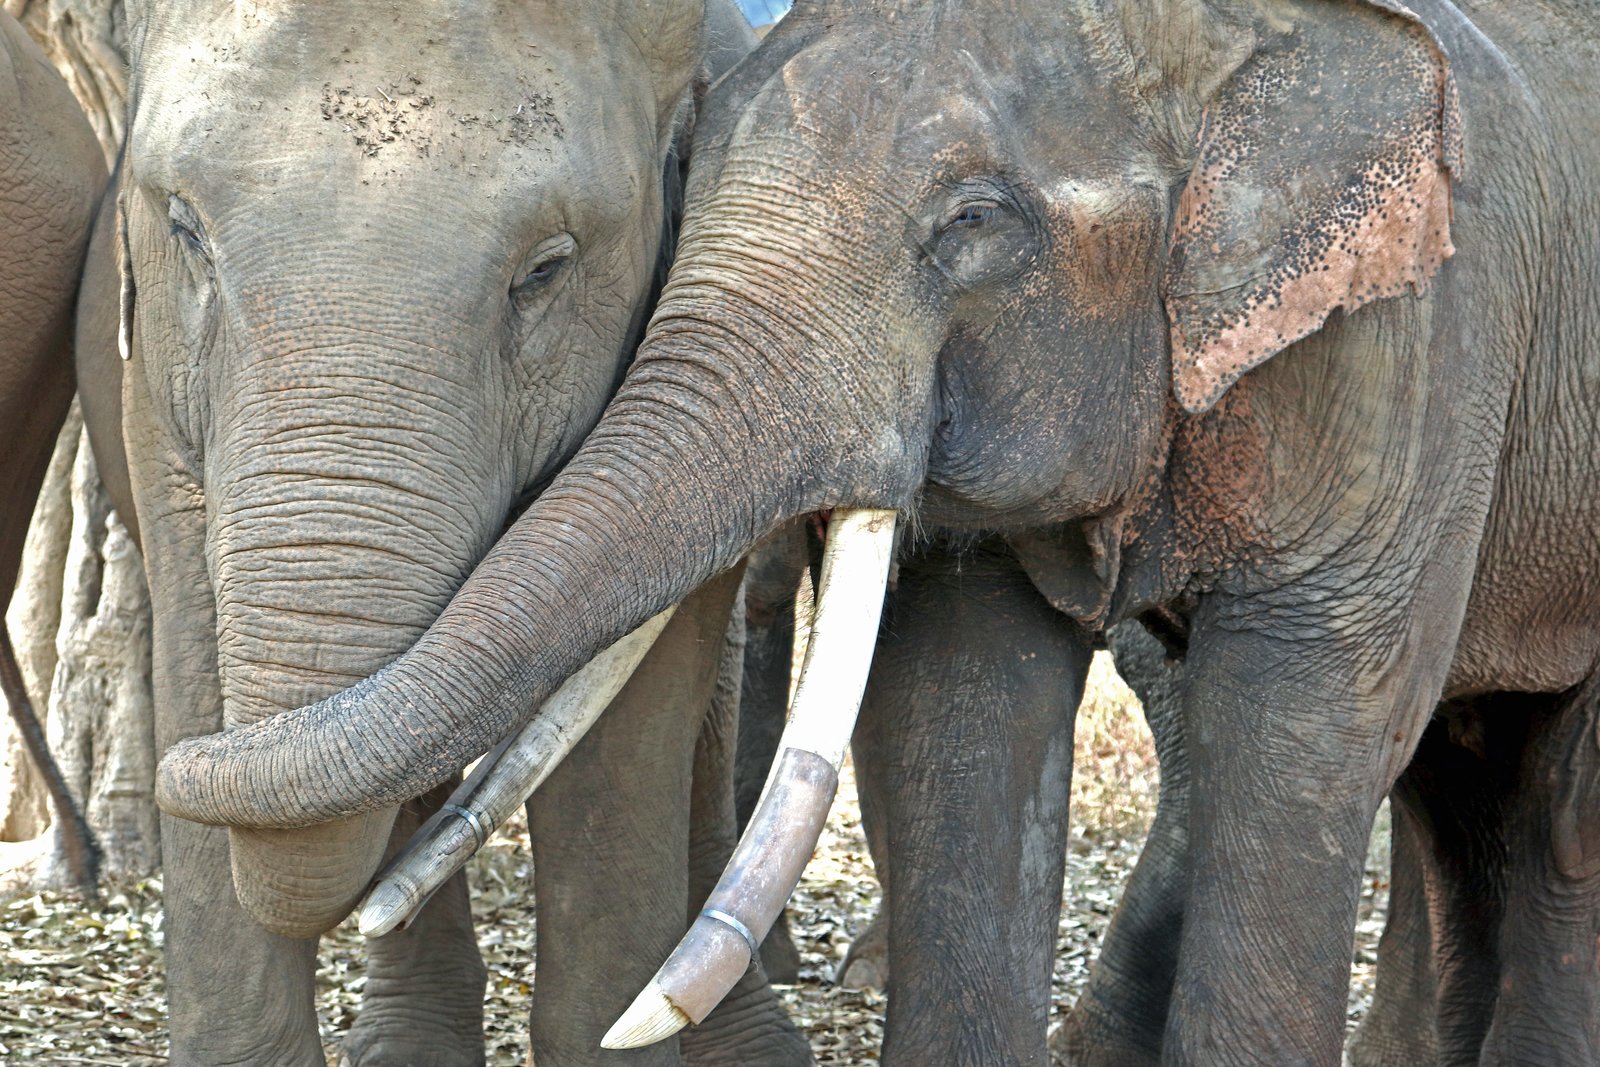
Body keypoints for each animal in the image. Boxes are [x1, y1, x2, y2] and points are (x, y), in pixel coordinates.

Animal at [83, 1, 816, 1064]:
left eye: (546, 270)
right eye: (184, 228)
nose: (164, 779)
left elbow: (624, 739)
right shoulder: (149, 395)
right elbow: (192, 642)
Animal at [157, 1, 1600, 1065]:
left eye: (972, 225)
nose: (182, 757)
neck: (1214, 42)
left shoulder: (1420, 345)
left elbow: (1303, 725)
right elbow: (962, 708)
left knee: (1548, 803)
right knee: (1461, 783)